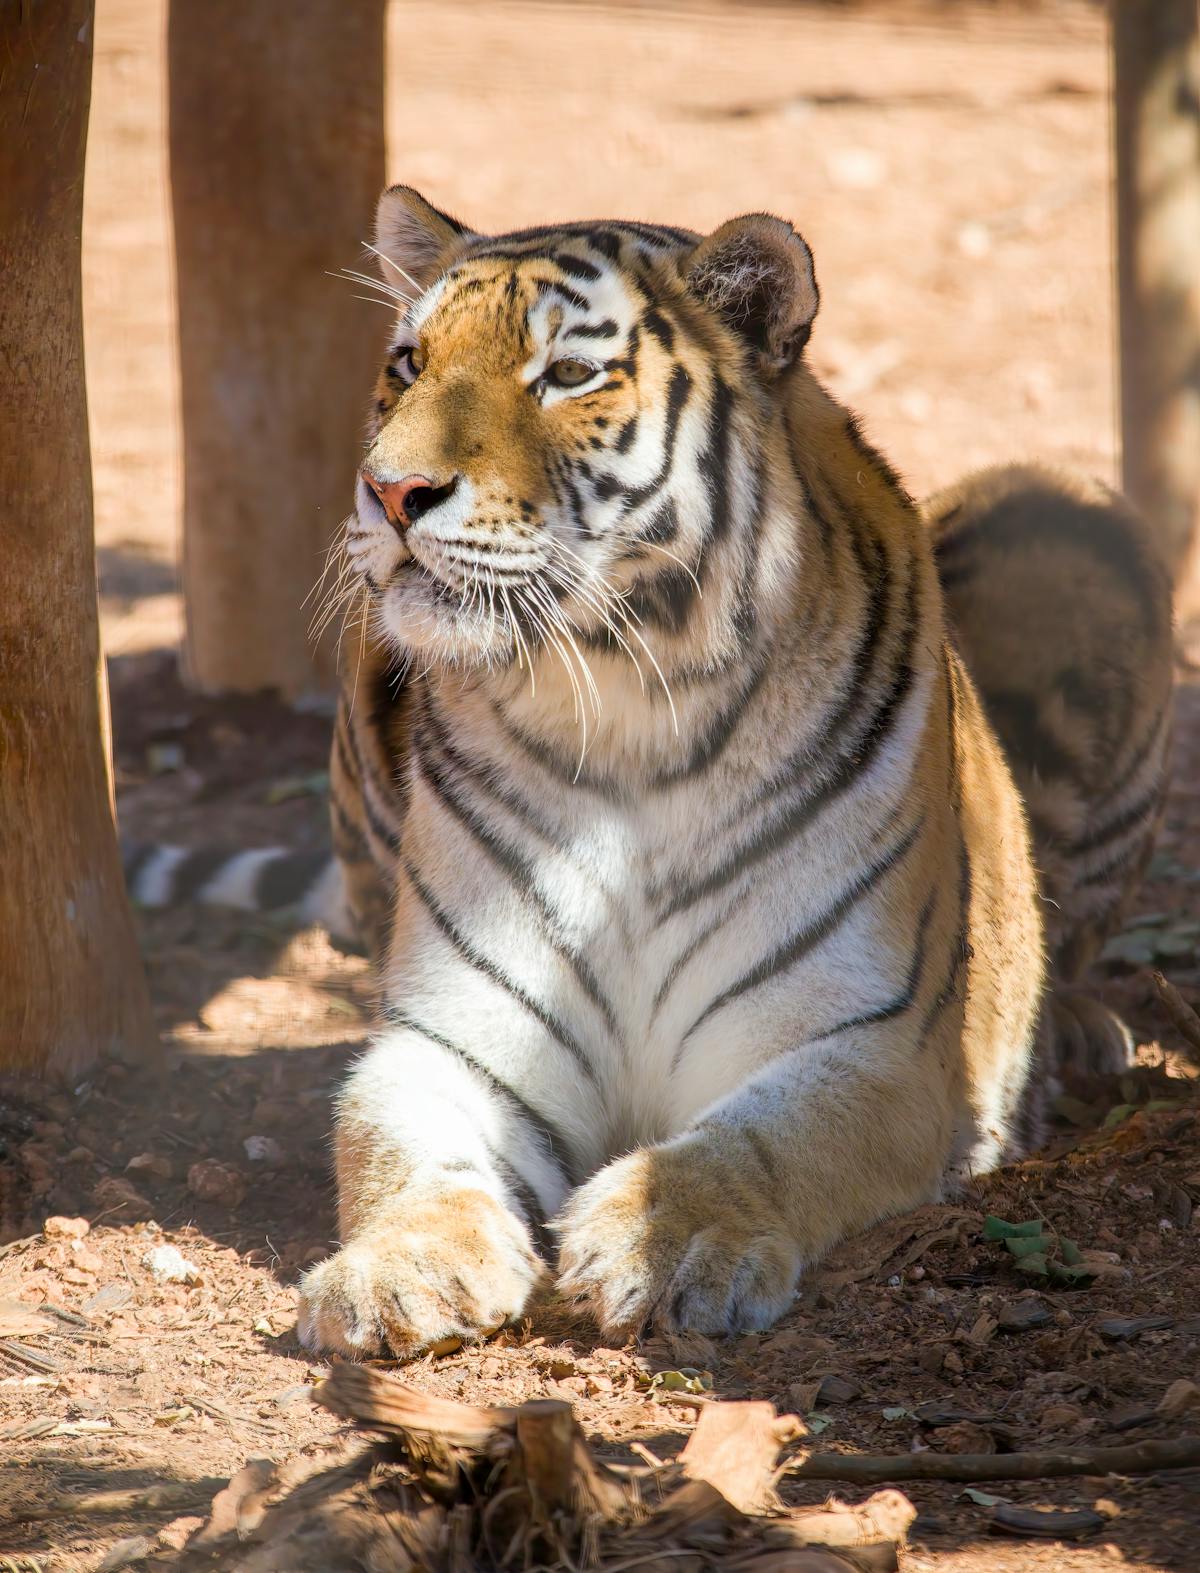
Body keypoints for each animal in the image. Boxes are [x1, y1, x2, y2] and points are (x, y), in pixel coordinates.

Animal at [272, 185, 1171, 1360]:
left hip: (1070, 517)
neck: (622, 719)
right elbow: (392, 1142)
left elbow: (760, 1139)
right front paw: (400, 1270)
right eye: (410, 362)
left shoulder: (868, 1039)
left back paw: (1077, 1029)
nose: (389, 490)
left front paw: (667, 1243)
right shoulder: (451, 1034)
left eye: (567, 373)